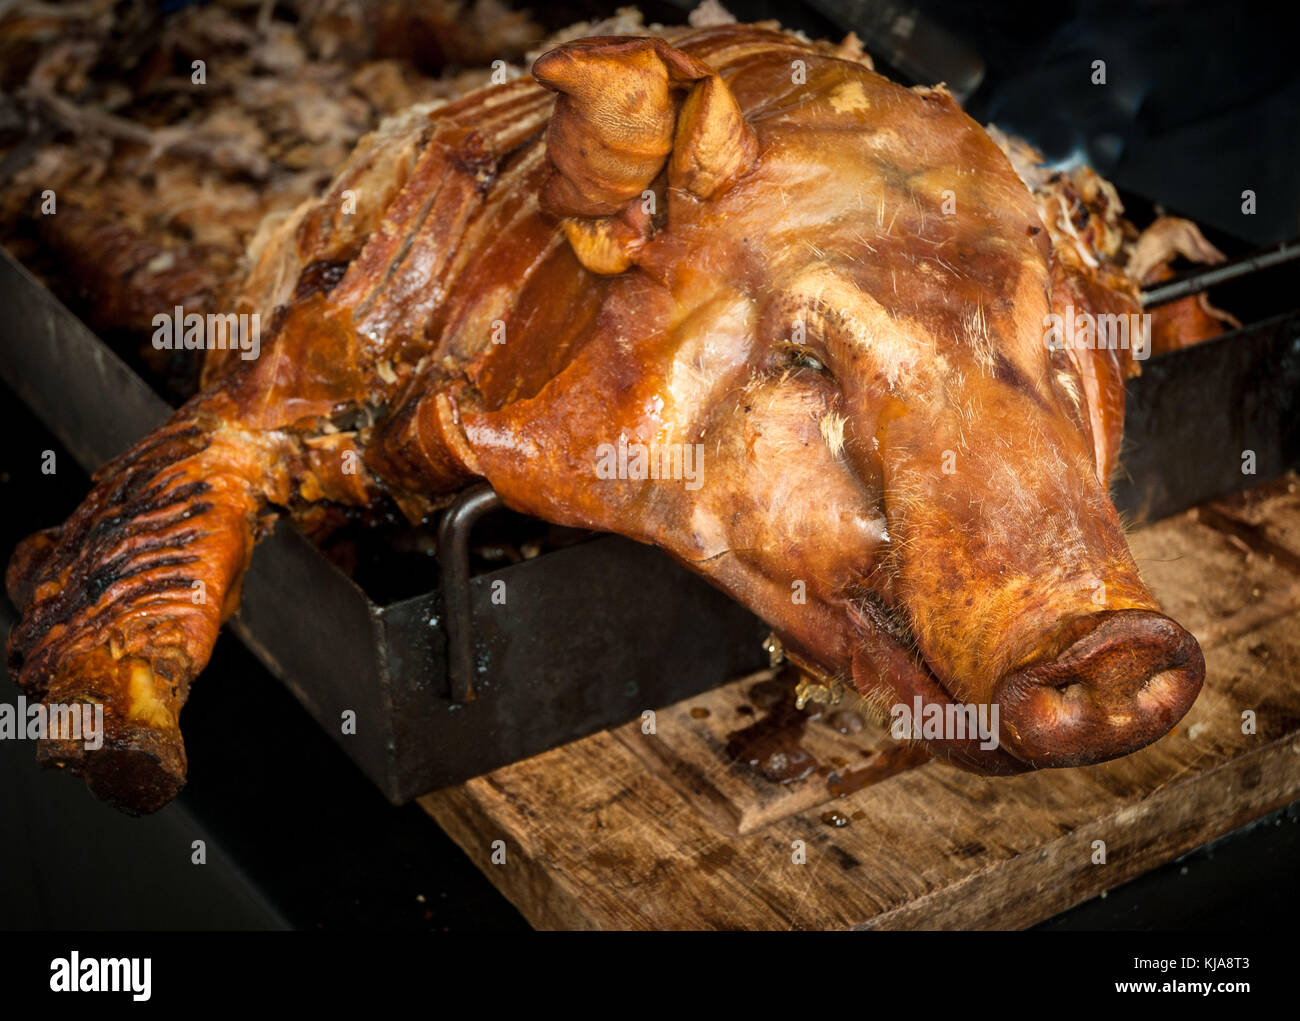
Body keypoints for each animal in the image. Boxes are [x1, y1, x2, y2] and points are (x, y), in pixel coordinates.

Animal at [5, 24, 1203, 814]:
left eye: (1056, 335)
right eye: (802, 356)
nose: (1108, 638)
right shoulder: (302, 360)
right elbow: (182, 482)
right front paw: (119, 759)